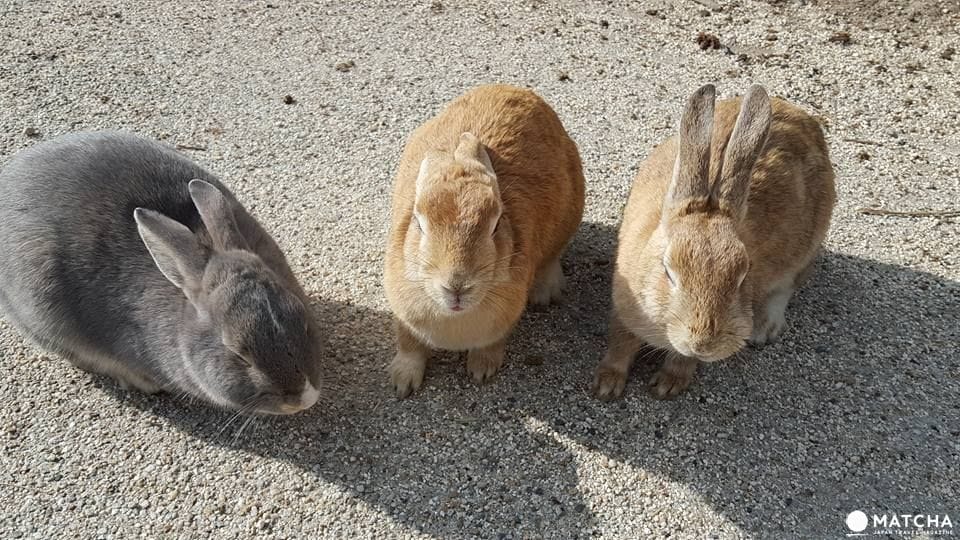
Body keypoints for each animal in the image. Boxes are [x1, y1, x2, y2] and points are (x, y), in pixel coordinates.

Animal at [383, 84, 585, 398]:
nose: (456, 286)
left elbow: (491, 345)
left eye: (496, 223)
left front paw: (481, 371)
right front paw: (402, 383)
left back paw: (545, 293)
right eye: (419, 222)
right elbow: (409, 346)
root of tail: (520, 90)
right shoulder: (404, 318)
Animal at [592, 84, 836, 400]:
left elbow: (681, 360)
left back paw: (764, 328)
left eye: (743, 273)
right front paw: (607, 385)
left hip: (809, 245)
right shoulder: (624, 309)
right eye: (668, 271)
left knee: (787, 286)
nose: (704, 343)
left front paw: (667, 385)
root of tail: (800, 116)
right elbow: (621, 344)